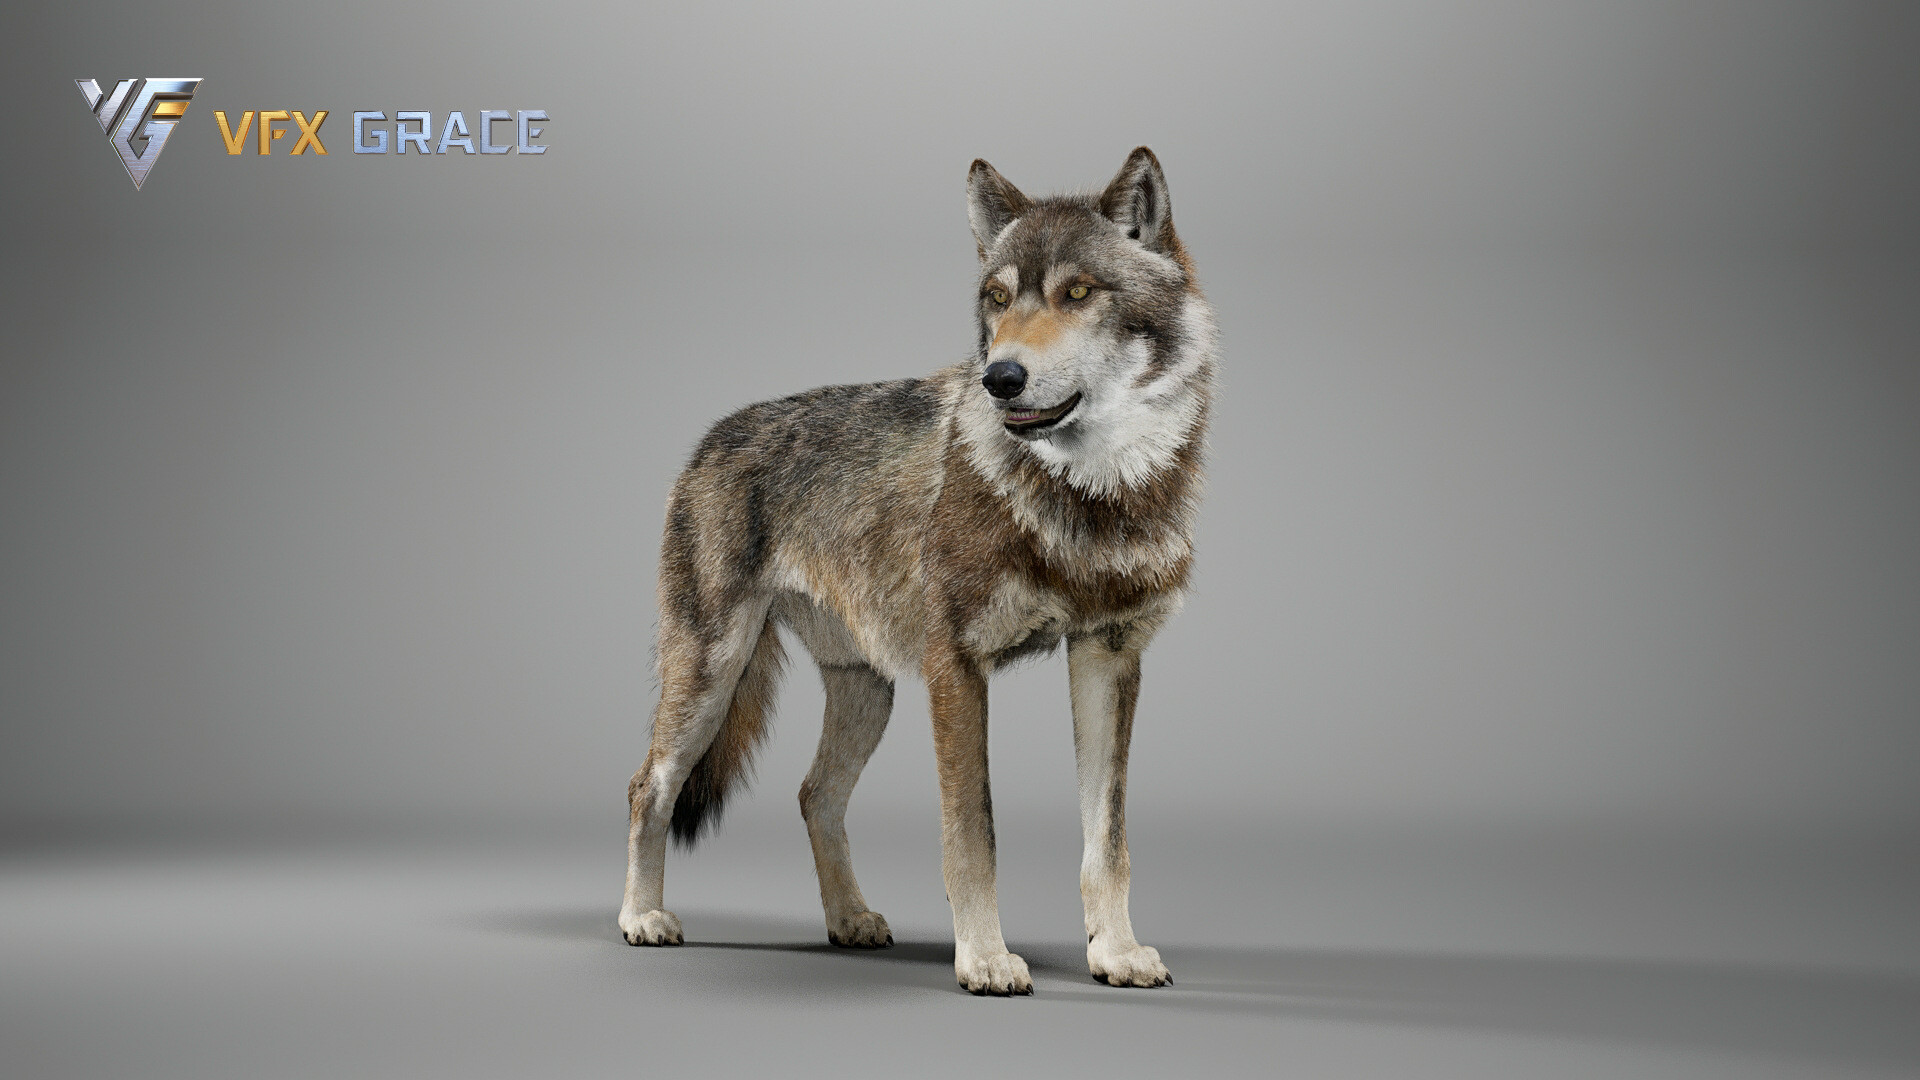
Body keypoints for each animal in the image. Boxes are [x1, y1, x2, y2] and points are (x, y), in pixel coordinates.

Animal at [618, 147, 1216, 995]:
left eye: (1077, 293)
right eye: (998, 299)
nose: (1001, 377)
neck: (1090, 494)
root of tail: (710, 438)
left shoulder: (1107, 658)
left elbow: (1108, 841)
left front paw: (1116, 954)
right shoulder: (956, 667)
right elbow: (974, 834)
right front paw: (986, 959)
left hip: (868, 693)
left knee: (814, 796)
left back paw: (848, 921)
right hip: (711, 674)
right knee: (650, 786)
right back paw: (642, 918)